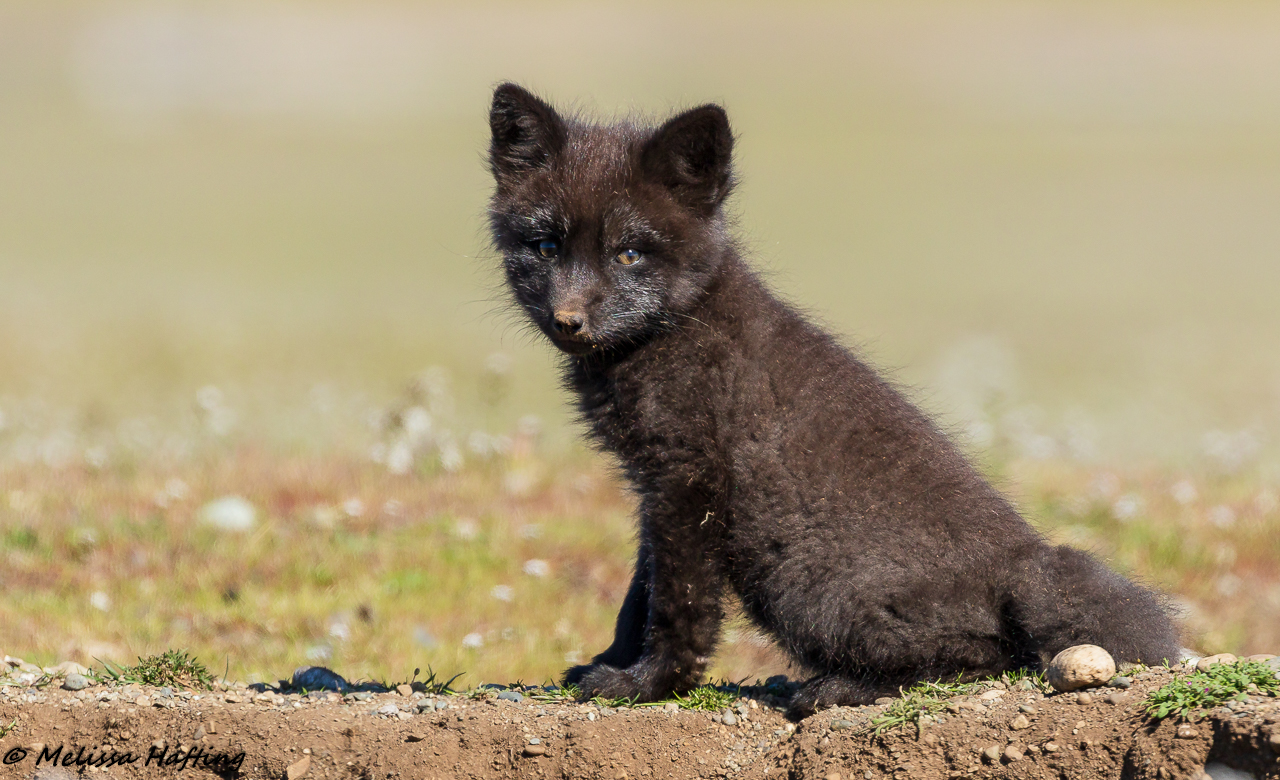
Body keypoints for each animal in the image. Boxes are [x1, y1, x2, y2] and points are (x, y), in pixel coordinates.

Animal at [485, 83, 1180, 719]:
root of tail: (1025, 562)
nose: (568, 320)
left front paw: (649, 686)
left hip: (801, 584)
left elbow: (680, 603)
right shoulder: (655, 485)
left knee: (984, 654)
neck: (675, 330)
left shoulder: (689, 478)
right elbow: (641, 591)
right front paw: (607, 664)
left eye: (629, 253)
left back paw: (836, 689)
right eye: (546, 247)